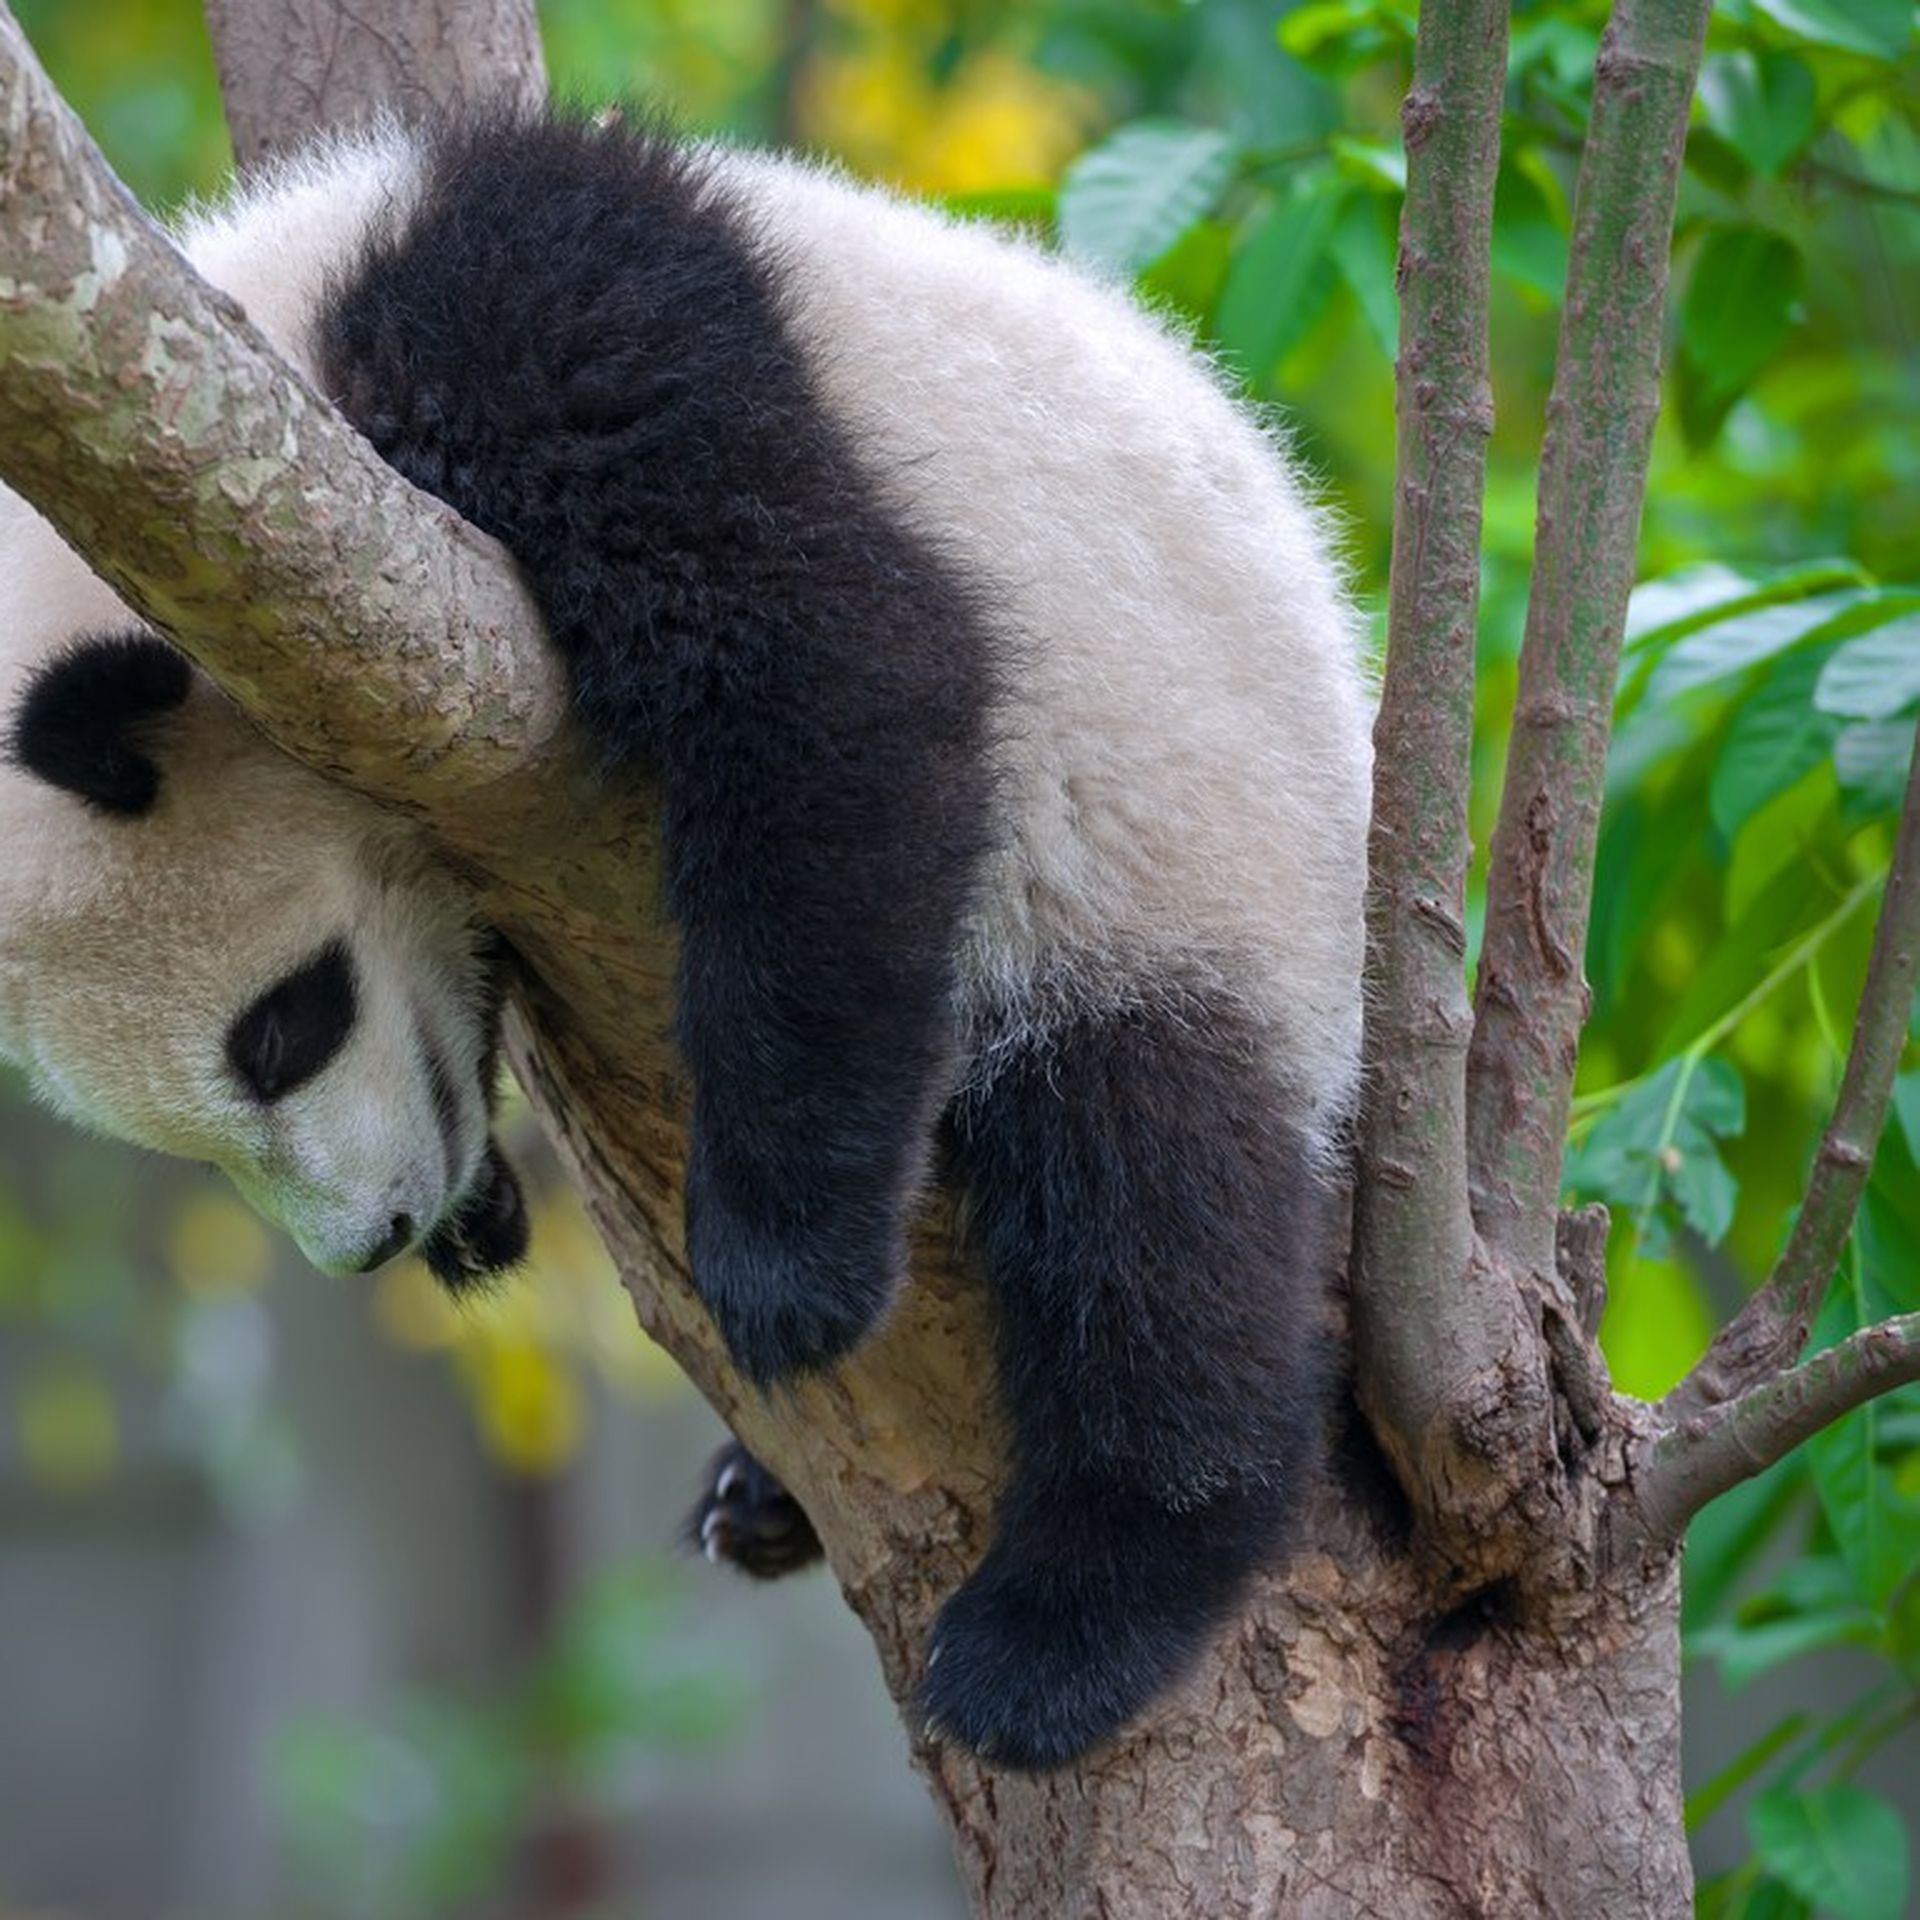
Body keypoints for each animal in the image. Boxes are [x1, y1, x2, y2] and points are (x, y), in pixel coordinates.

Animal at [0, 107, 1371, 1772]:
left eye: (284, 1028)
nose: (375, 1237)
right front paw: (488, 1214)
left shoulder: (564, 328)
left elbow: (835, 667)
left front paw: (787, 1272)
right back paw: (765, 1503)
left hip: (1195, 866)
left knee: (1152, 1197)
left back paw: (1072, 1624)